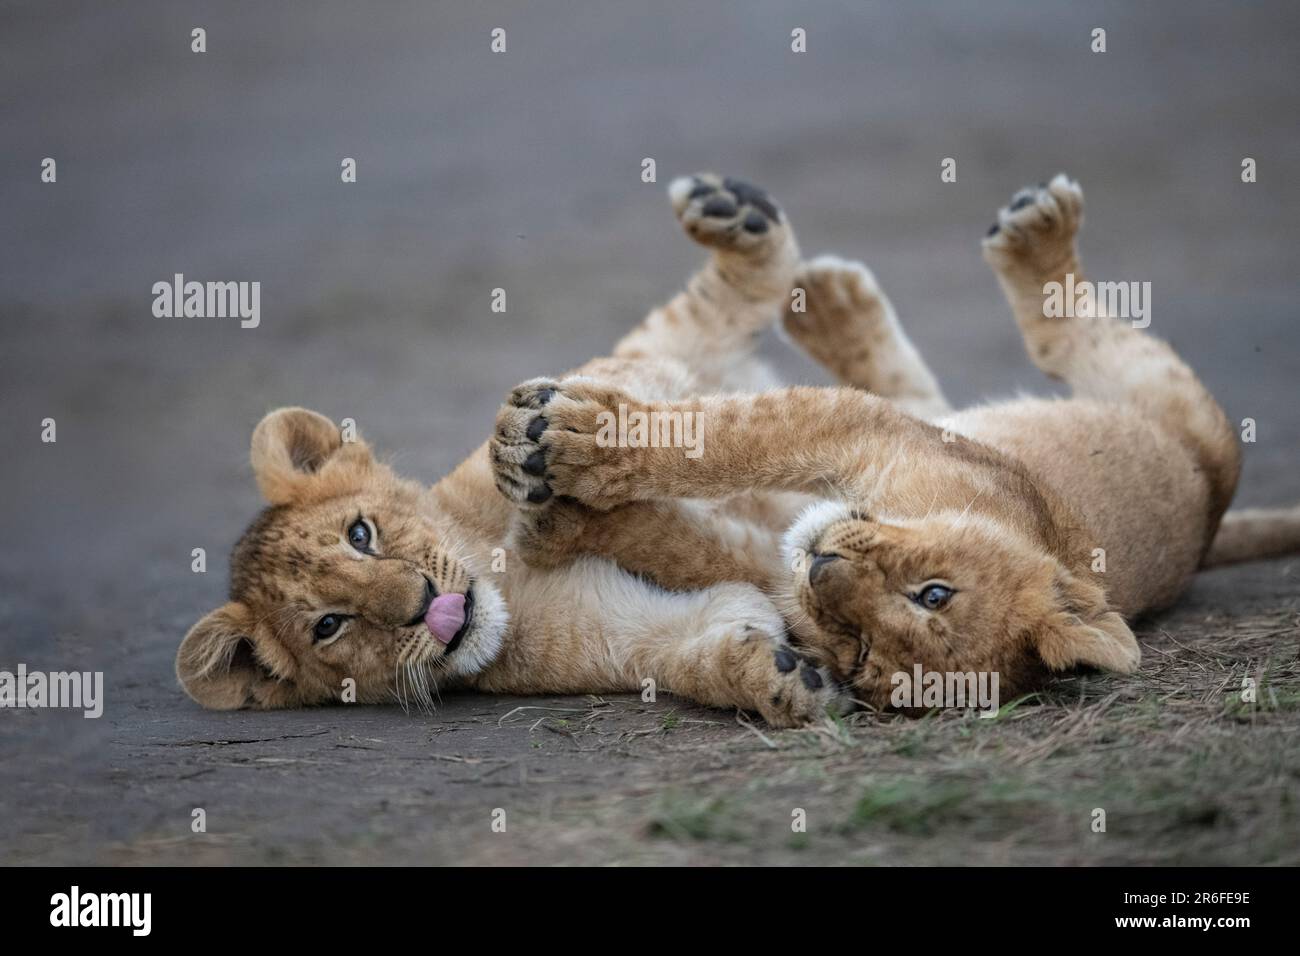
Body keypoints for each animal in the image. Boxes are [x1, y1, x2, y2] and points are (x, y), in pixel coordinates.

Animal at [489, 174, 1300, 713]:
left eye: (861, 651)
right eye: (933, 590)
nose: (824, 569)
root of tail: (1213, 510)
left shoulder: (786, 553)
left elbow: (689, 544)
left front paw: (552, 516)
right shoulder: (867, 432)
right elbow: (729, 440)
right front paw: (565, 442)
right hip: (1154, 403)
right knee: (1055, 336)